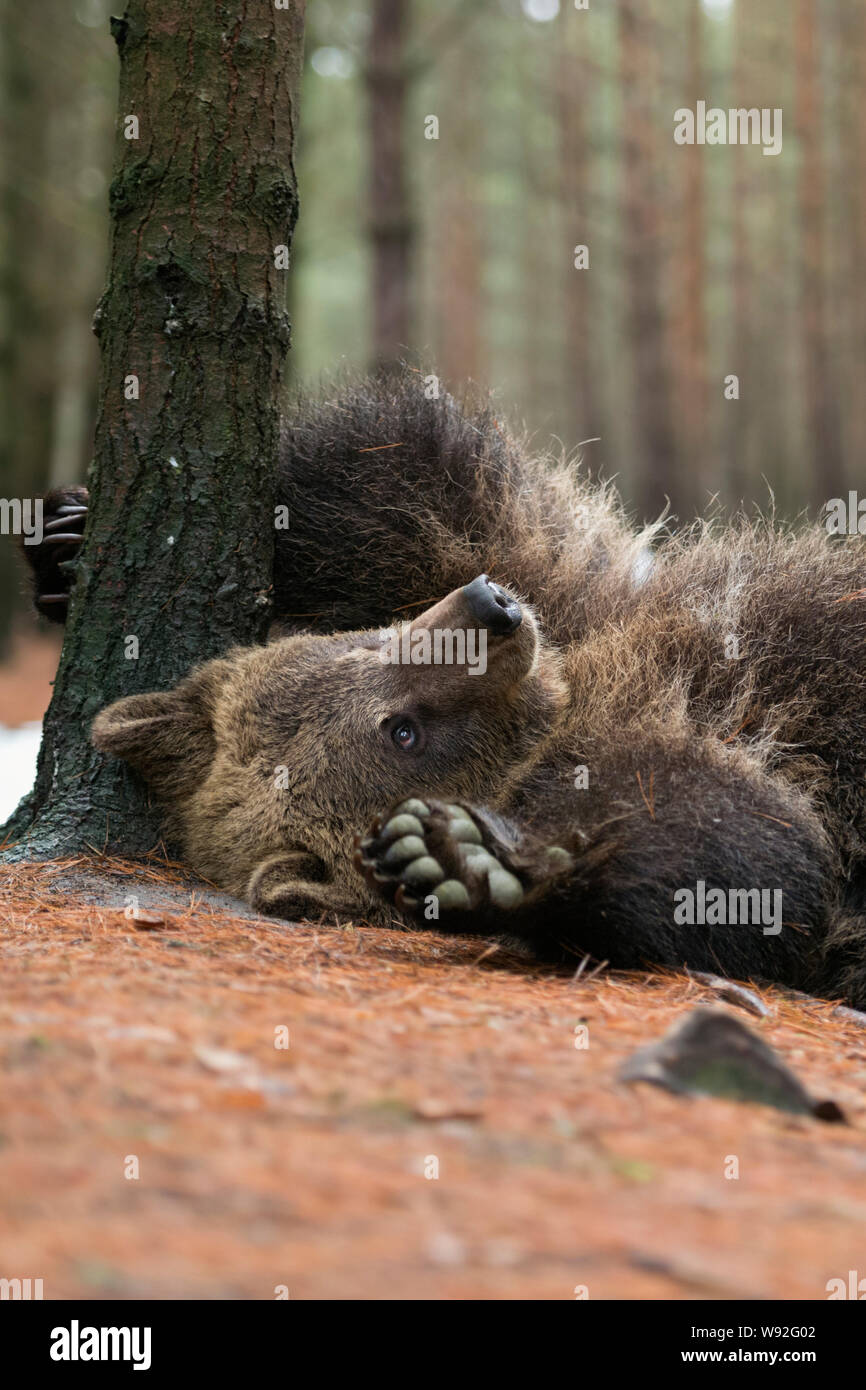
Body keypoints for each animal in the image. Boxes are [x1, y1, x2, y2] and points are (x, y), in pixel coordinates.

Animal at [22, 374, 866, 1005]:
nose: (491, 608)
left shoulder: (565, 592)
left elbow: (399, 481)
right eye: (403, 731)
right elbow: (744, 856)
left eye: (363, 646)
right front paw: (475, 866)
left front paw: (67, 534)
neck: (565, 704)